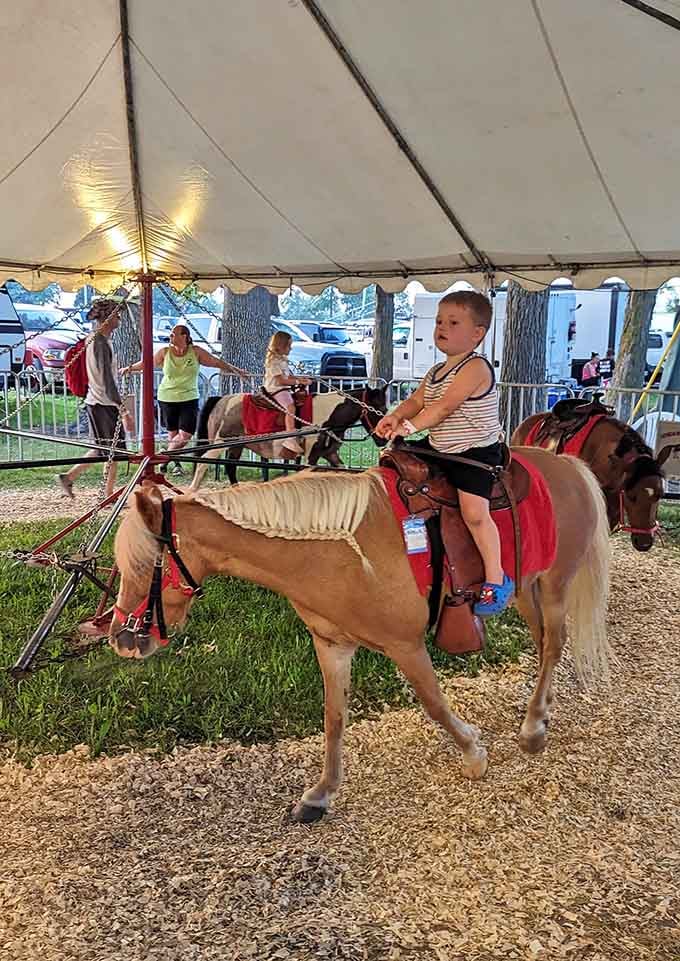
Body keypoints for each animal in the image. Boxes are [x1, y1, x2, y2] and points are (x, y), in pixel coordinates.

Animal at [111, 447, 610, 823]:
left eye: (144, 564)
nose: (121, 638)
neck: (338, 547)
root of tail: (568, 465)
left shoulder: (406, 645)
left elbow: (434, 703)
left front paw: (473, 753)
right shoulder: (332, 645)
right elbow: (334, 717)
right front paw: (321, 793)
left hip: (554, 586)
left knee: (554, 644)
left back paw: (532, 728)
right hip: (527, 588)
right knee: (544, 644)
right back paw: (540, 713)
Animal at [189, 386, 388, 490]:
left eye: (385, 409)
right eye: (377, 410)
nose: (383, 440)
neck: (329, 415)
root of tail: (221, 400)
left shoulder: (330, 454)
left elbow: (343, 470)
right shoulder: (311, 456)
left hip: (236, 445)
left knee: (230, 466)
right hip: (221, 442)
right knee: (203, 463)